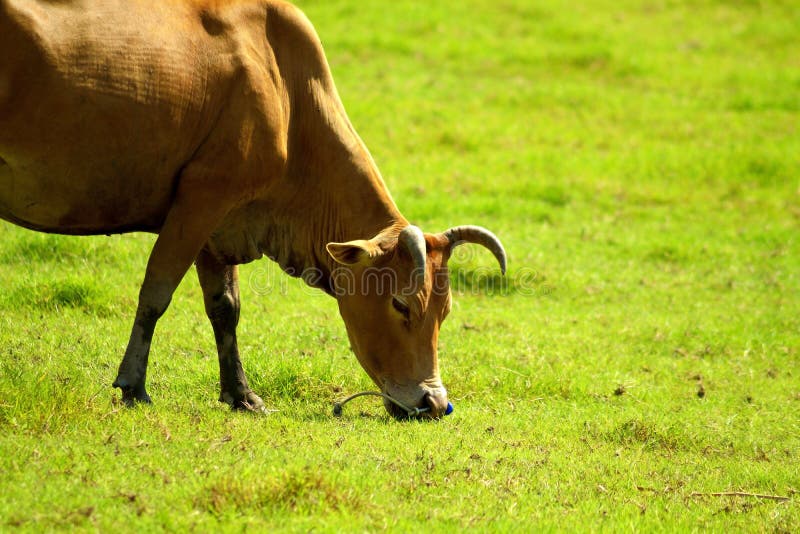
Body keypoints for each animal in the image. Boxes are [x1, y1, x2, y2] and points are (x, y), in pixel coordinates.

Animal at [0, 0, 506, 419]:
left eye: (444, 312)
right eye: (401, 304)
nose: (434, 402)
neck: (287, 92)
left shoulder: (218, 226)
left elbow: (225, 307)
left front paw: (241, 394)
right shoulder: (201, 200)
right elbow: (156, 293)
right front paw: (133, 387)